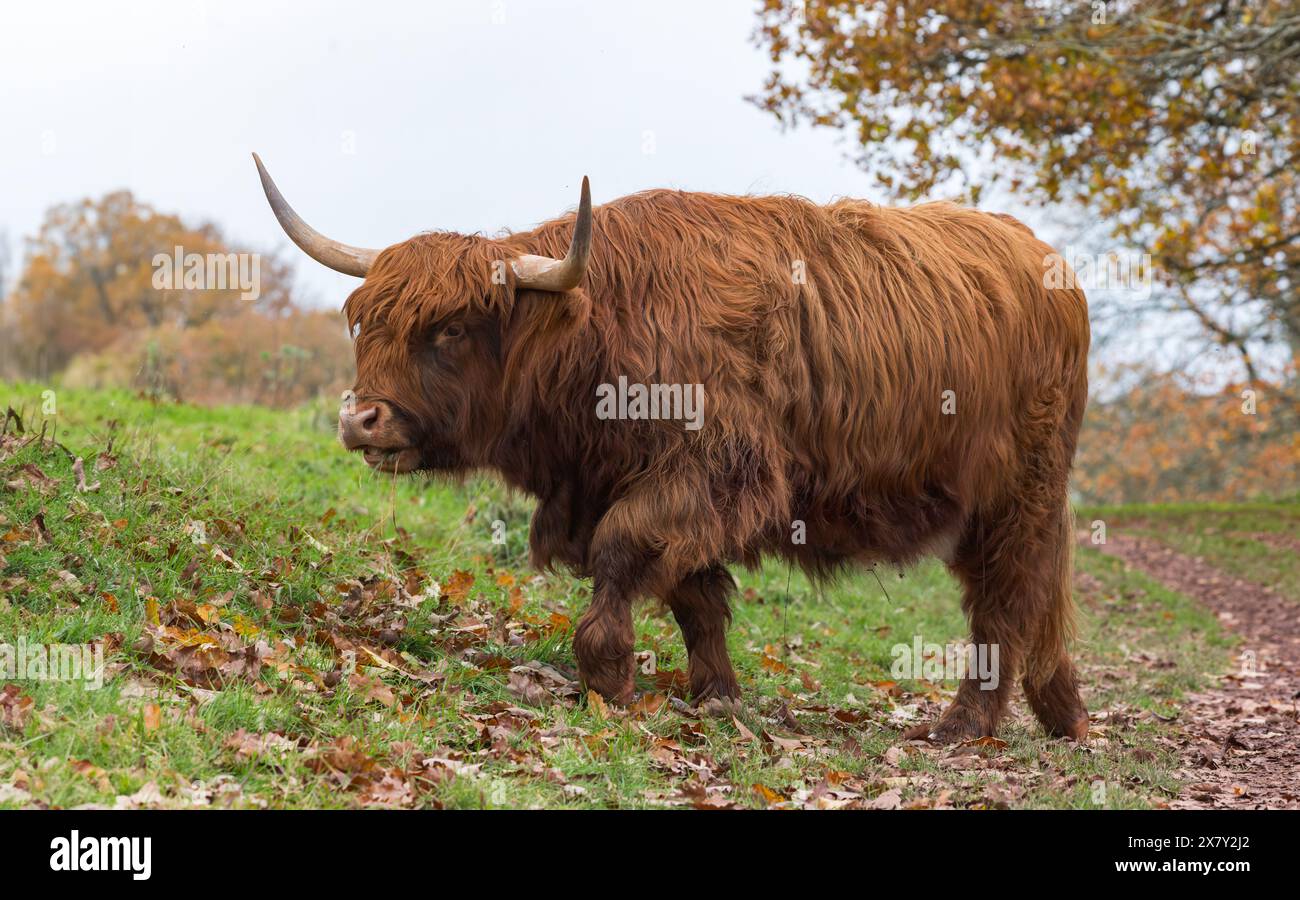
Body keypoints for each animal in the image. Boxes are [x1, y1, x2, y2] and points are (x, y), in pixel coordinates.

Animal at [253, 153, 1090, 741]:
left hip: (1019, 492)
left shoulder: (715, 469)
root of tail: (1046, 259)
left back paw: (964, 724)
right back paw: (1062, 710)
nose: (363, 419)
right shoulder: (636, 483)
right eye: (367, 321)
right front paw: (716, 698)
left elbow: (624, 550)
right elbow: (694, 596)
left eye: (450, 329)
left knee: (1007, 599)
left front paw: (609, 676)